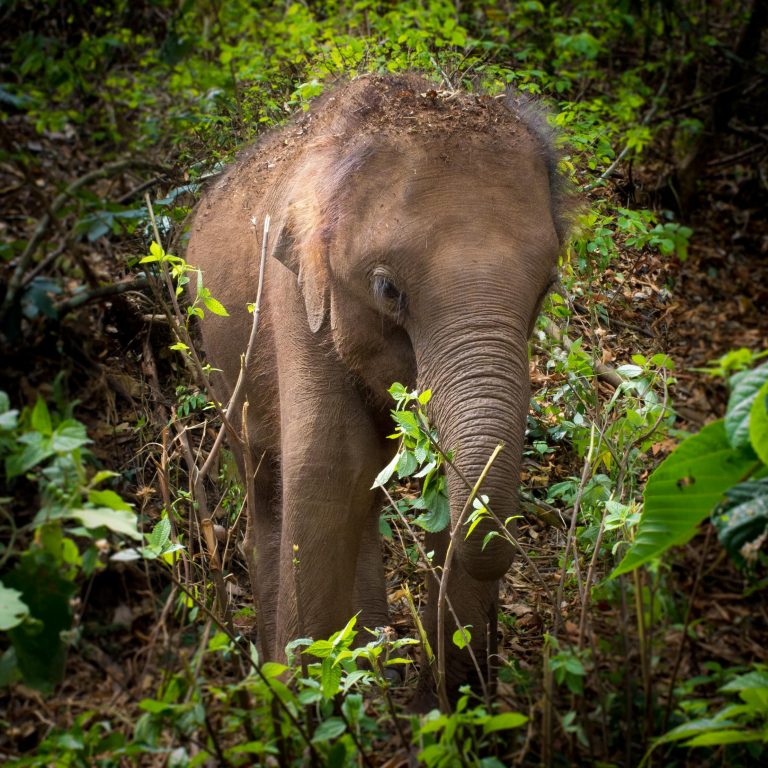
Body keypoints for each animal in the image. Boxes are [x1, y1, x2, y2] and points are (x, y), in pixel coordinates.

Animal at [186, 72, 569, 697]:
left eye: (546, 287)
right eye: (388, 289)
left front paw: (448, 703)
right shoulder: (296, 294)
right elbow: (329, 463)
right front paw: (313, 697)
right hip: (219, 355)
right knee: (269, 473)